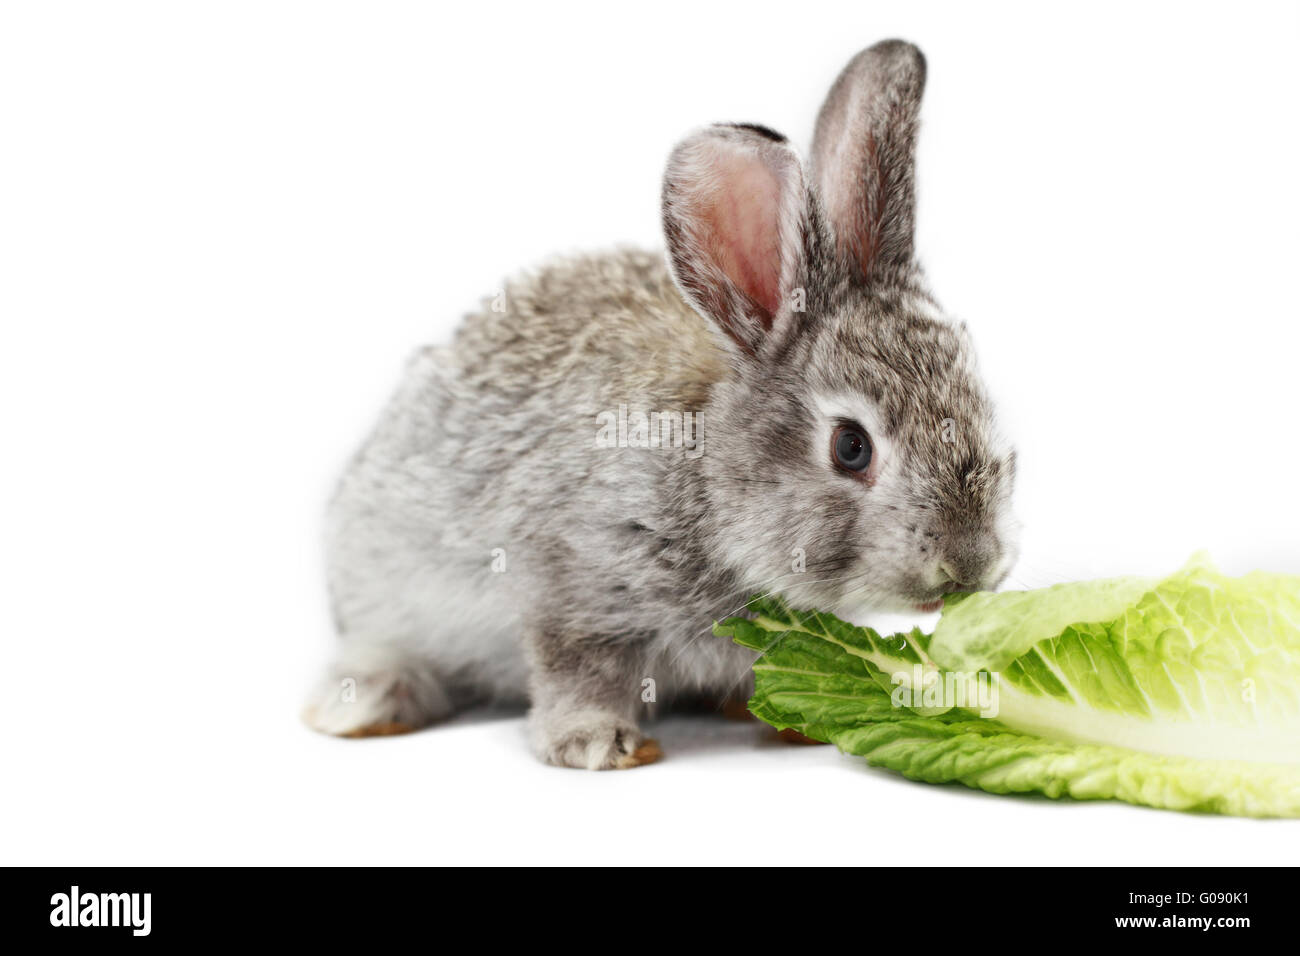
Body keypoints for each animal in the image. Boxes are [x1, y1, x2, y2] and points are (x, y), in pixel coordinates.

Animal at [303, 39, 1019, 769]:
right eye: (851, 447)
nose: (970, 566)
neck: (709, 485)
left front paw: (798, 724)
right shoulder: (573, 587)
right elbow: (577, 669)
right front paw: (597, 744)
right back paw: (365, 706)